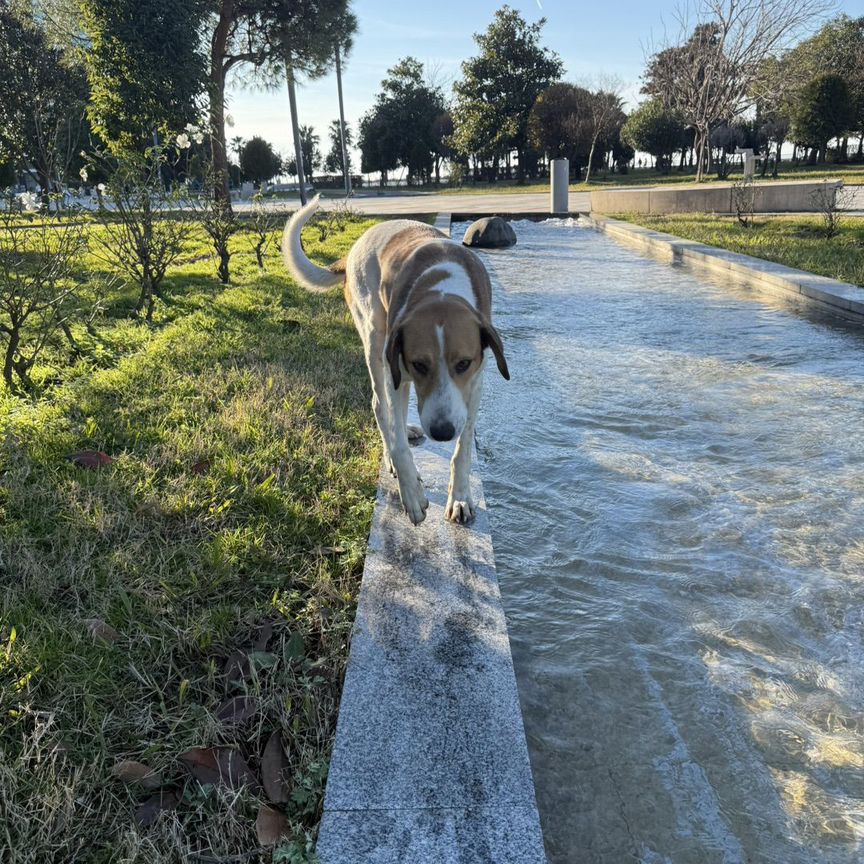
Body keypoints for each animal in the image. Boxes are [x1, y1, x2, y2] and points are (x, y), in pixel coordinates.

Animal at [286, 199, 506, 524]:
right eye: (420, 364)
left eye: (463, 364)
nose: (442, 432)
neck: (441, 287)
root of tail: (354, 249)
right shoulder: (398, 367)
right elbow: (397, 437)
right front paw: (411, 490)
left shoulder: (475, 382)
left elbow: (464, 446)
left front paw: (460, 496)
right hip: (376, 340)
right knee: (381, 406)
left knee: (398, 413)